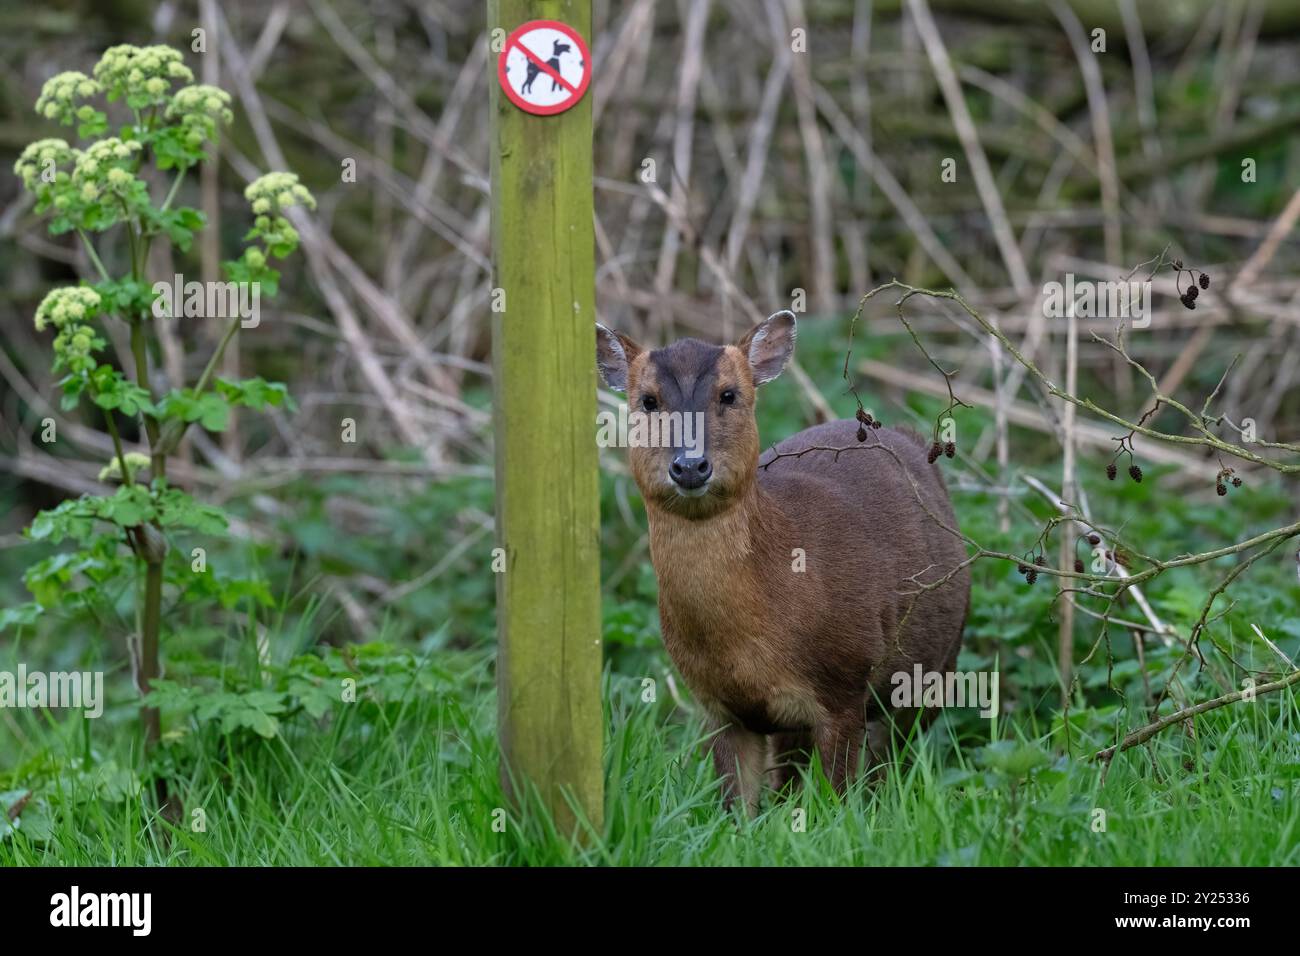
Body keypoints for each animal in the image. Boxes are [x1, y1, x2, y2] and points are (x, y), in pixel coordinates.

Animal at [595, 310, 971, 813]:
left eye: (729, 394)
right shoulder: (718, 705)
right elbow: (736, 807)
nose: (690, 466)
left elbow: (840, 798)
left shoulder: (846, 681)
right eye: (648, 400)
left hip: (937, 665)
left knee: (895, 759)